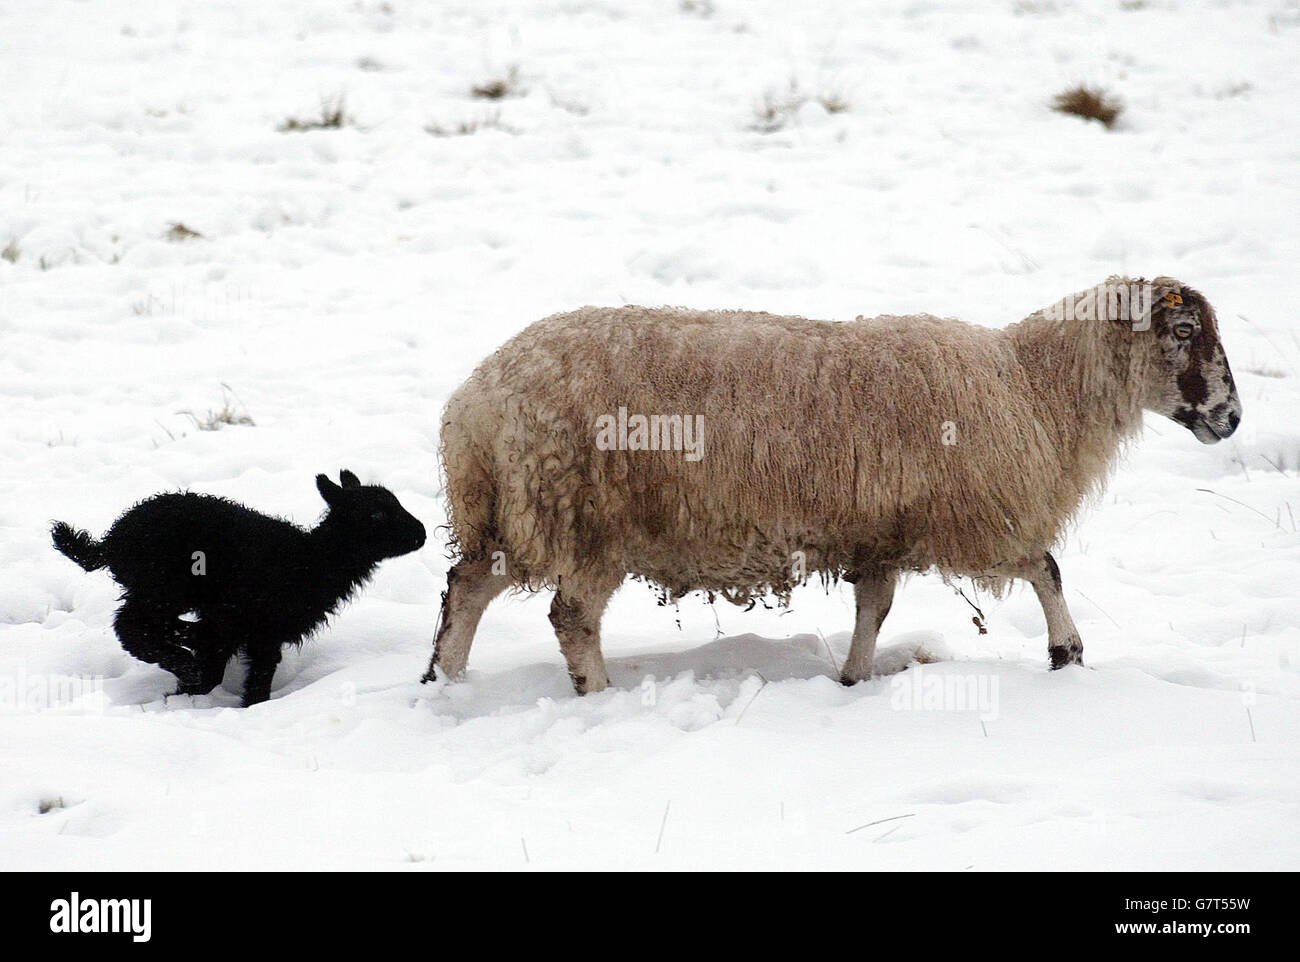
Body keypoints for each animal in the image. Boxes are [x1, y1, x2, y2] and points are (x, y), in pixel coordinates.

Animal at [53, 470, 426, 706]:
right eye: (376, 515)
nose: (421, 533)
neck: (312, 559)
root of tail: (111, 540)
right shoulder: (257, 629)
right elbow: (252, 677)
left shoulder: (240, 629)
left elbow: (216, 666)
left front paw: (183, 692)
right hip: (162, 587)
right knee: (130, 626)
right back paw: (180, 659)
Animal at [424, 276, 1241, 692]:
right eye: (1182, 333)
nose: (1231, 417)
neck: (1031, 387)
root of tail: (477, 401)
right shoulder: (979, 514)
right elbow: (1047, 568)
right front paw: (1067, 653)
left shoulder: (885, 529)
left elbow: (874, 608)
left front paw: (853, 678)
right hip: (585, 516)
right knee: (569, 616)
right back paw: (596, 694)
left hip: (510, 512)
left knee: (467, 588)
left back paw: (448, 682)